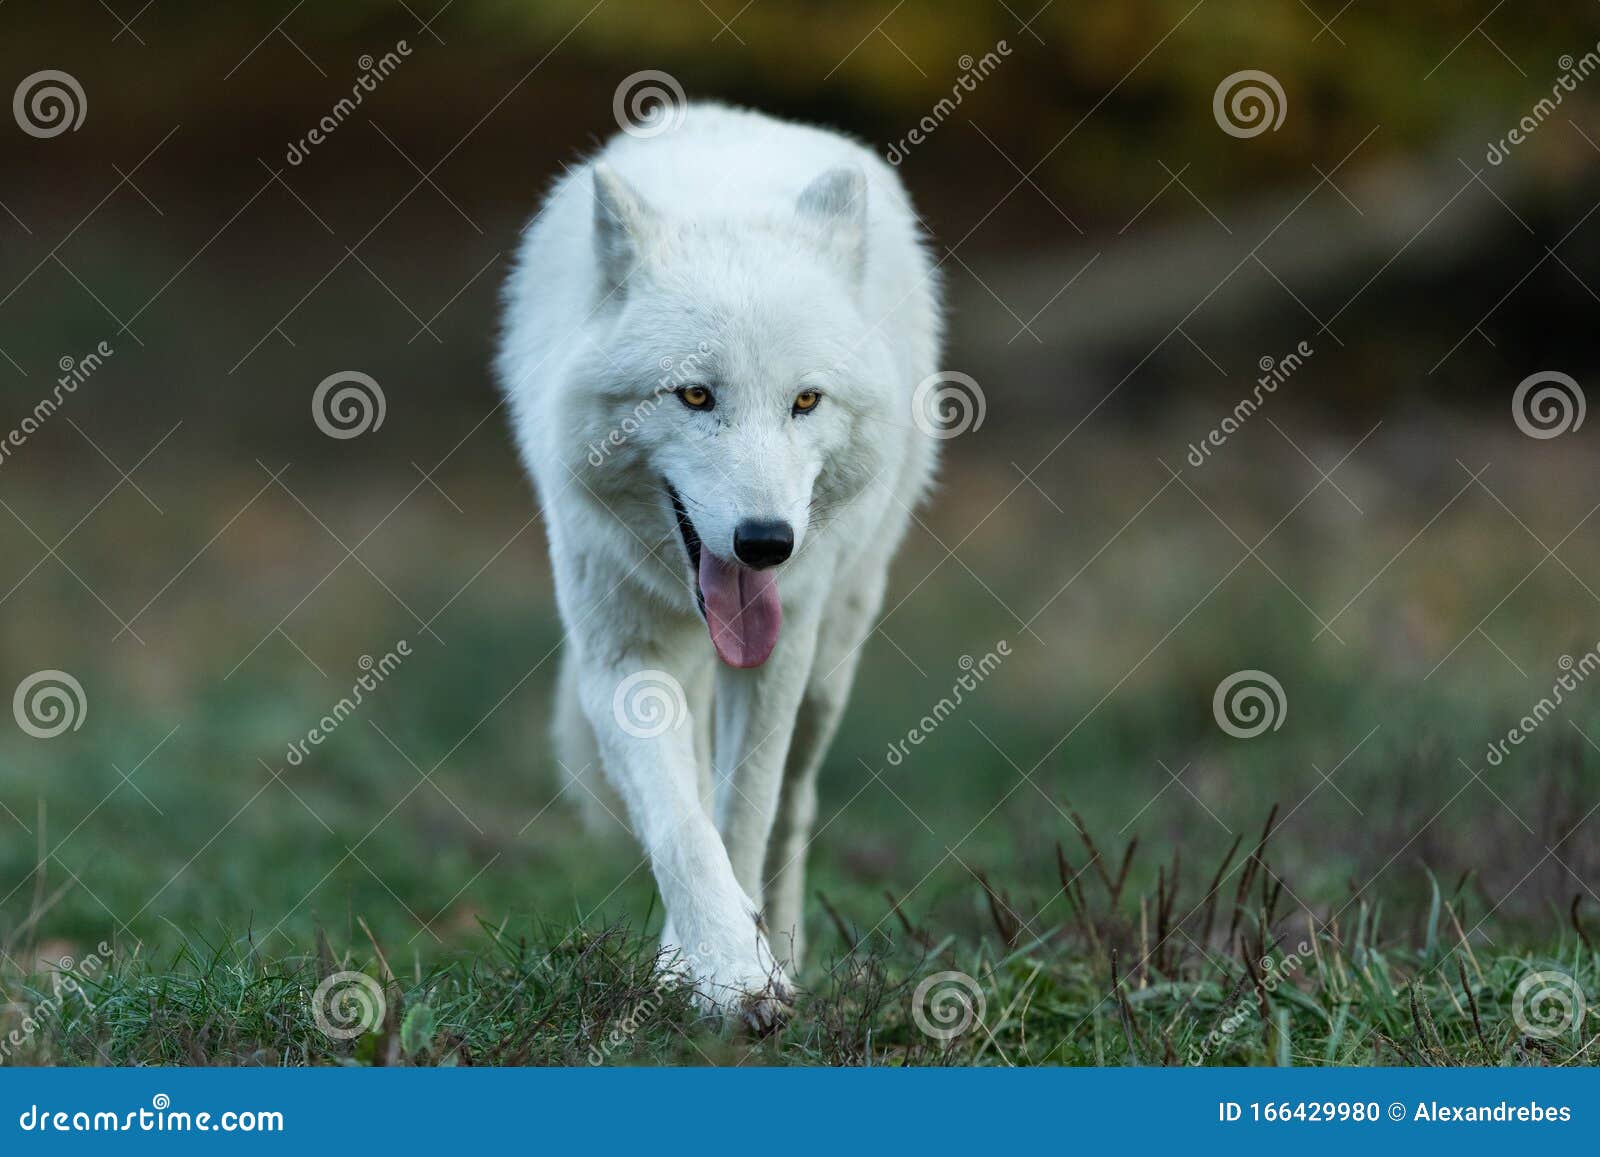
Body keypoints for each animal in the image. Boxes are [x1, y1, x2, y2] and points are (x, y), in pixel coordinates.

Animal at [495, 103, 942, 1029]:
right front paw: (719, 967)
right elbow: (681, 821)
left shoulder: (778, 652)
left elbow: (746, 810)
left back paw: (789, 940)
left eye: (805, 400)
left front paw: (756, 967)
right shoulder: (621, 654)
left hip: (831, 660)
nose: (766, 541)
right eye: (695, 395)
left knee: (796, 802)